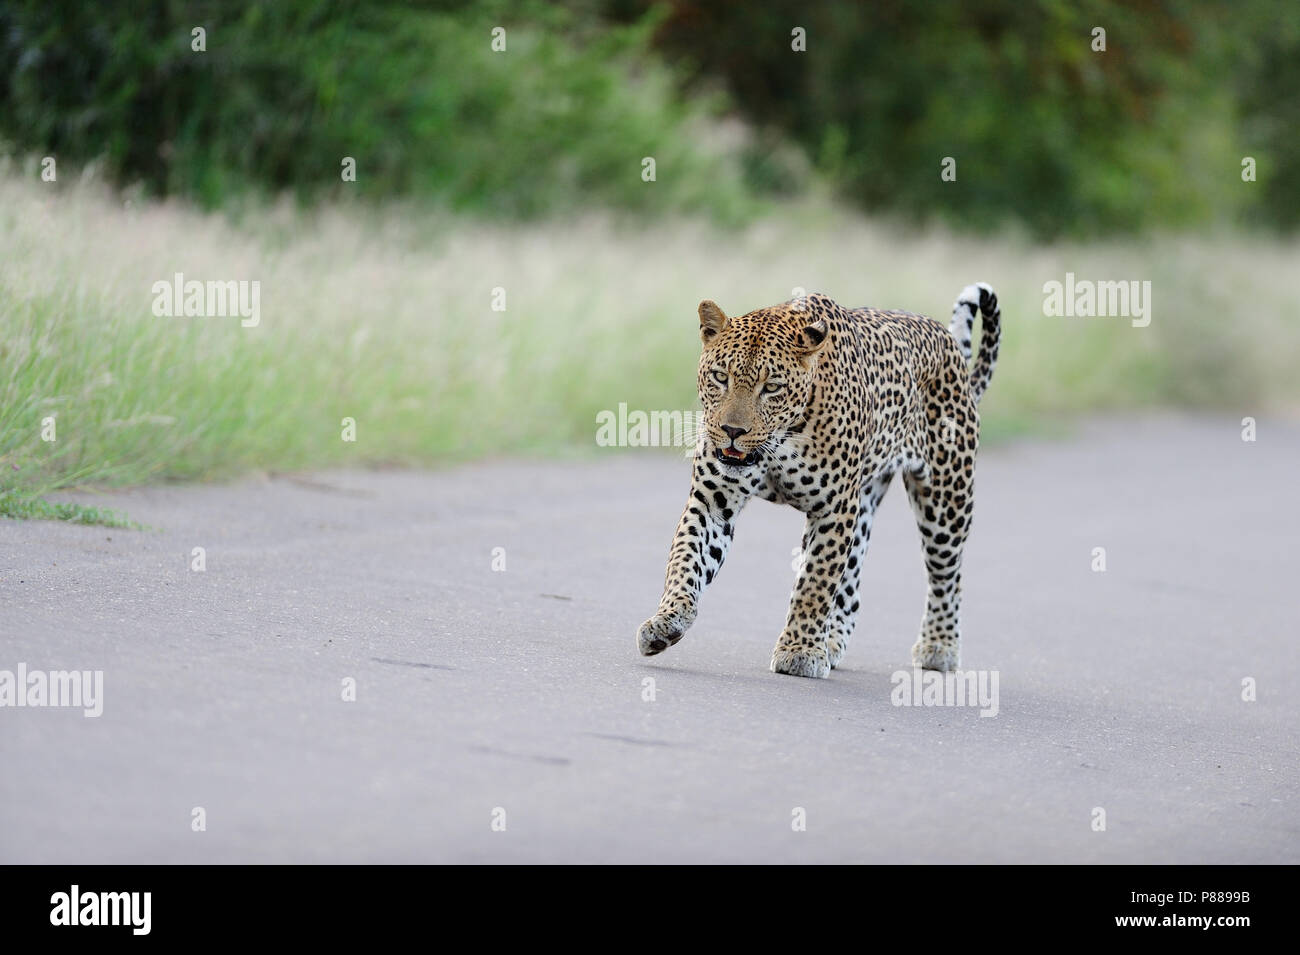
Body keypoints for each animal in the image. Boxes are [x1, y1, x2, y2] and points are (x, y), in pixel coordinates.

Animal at [635, 283, 1001, 678]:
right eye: (721, 377)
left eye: (772, 387)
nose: (732, 431)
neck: (781, 439)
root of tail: (949, 345)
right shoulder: (712, 502)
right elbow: (685, 560)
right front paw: (666, 621)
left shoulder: (834, 509)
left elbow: (815, 582)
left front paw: (799, 652)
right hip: (866, 503)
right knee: (852, 590)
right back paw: (832, 642)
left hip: (945, 500)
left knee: (947, 577)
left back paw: (939, 647)